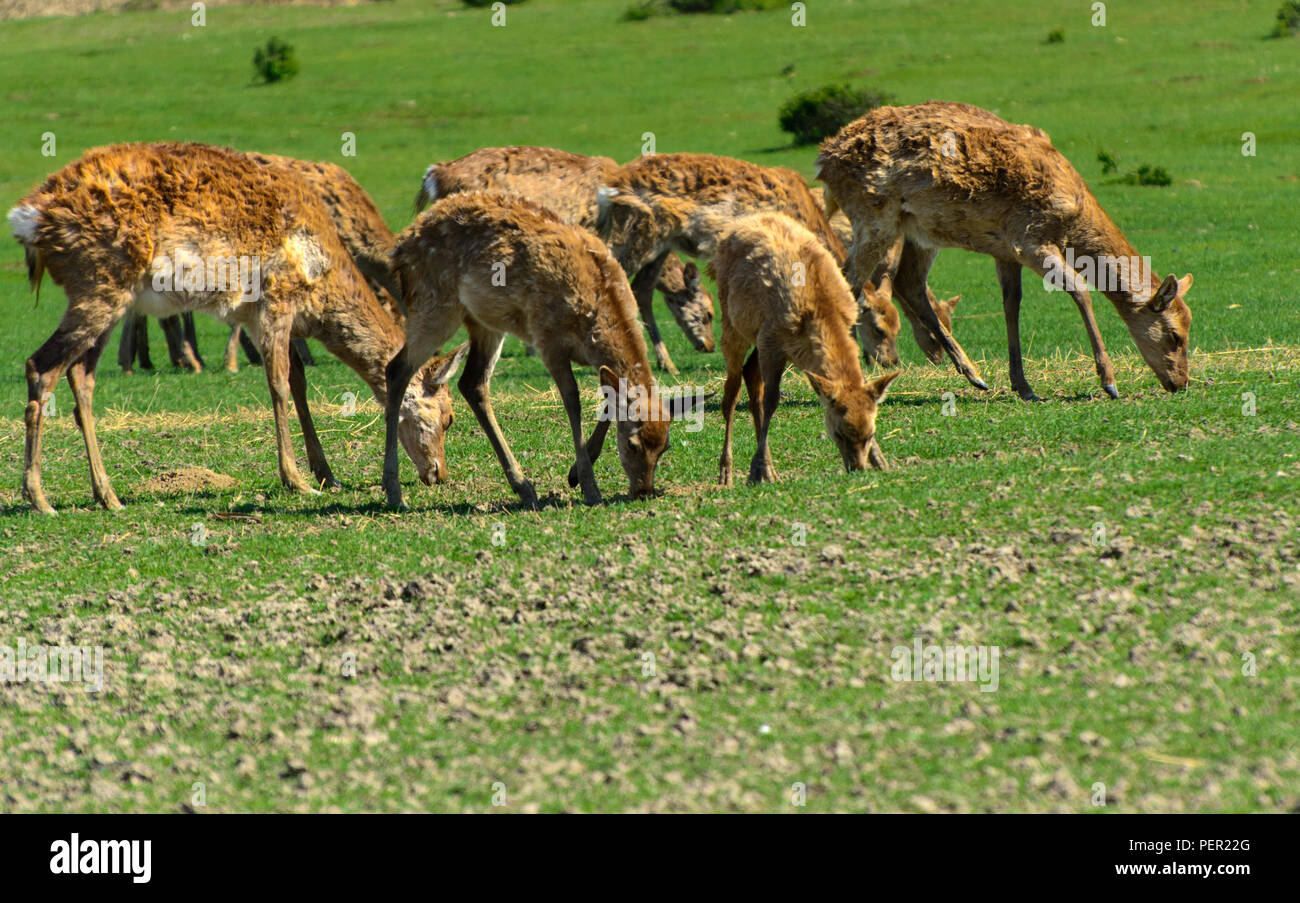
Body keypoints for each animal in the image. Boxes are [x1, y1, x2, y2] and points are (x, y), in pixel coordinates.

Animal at [9, 141, 467, 515]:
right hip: (98, 282)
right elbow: (279, 385)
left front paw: (326, 473)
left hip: (107, 296)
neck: (323, 284)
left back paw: (107, 495)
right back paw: (39, 498)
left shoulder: (275, 317)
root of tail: (28, 219)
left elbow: (299, 382)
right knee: (41, 366)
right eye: (447, 417)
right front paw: (297, 481)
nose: (439, 473)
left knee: (80, 376)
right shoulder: (276, 301)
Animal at [385, 192, 700, 509]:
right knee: (397, 368)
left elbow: (609, 398)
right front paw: (589, 486)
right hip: (435, 303)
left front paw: (575, 474)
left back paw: (523, 486)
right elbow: (573, 400)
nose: (643, 491)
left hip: (484, 321)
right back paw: (394, 493)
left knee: (472, 382)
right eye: (633, 444)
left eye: (665, 445)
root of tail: (401, 246)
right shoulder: (548, 338)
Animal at [596, 151, 903, 374]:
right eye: (878, 328)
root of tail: (608, 190)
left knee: (642, 289)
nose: (891, 361)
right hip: (639, 231)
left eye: (897, 327)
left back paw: (666, 363)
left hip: (660, 242)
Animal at [709, 212, 900, 485]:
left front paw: (881, 461)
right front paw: (755, 470)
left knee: (751, 374)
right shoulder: (771, 340)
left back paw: (769, 470)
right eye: (839, 433)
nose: (857, 467)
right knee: (731, 393)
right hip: (732, 323)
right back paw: (726, 472)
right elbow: (771, 401)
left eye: (871, 433)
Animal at [817, 101, 1193, 400]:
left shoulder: (1004, 251)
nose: (1181, 382)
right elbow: (1080, 289)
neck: (1072, 216)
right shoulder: (1028, 237)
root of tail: (824, 160)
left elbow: (1012, 305)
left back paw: (975, 376)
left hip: (916, 232)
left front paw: (1024, 387)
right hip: (873, 216)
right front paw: (1109, 383)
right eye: (1175, 336)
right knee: (848, 282)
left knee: (907, 282)